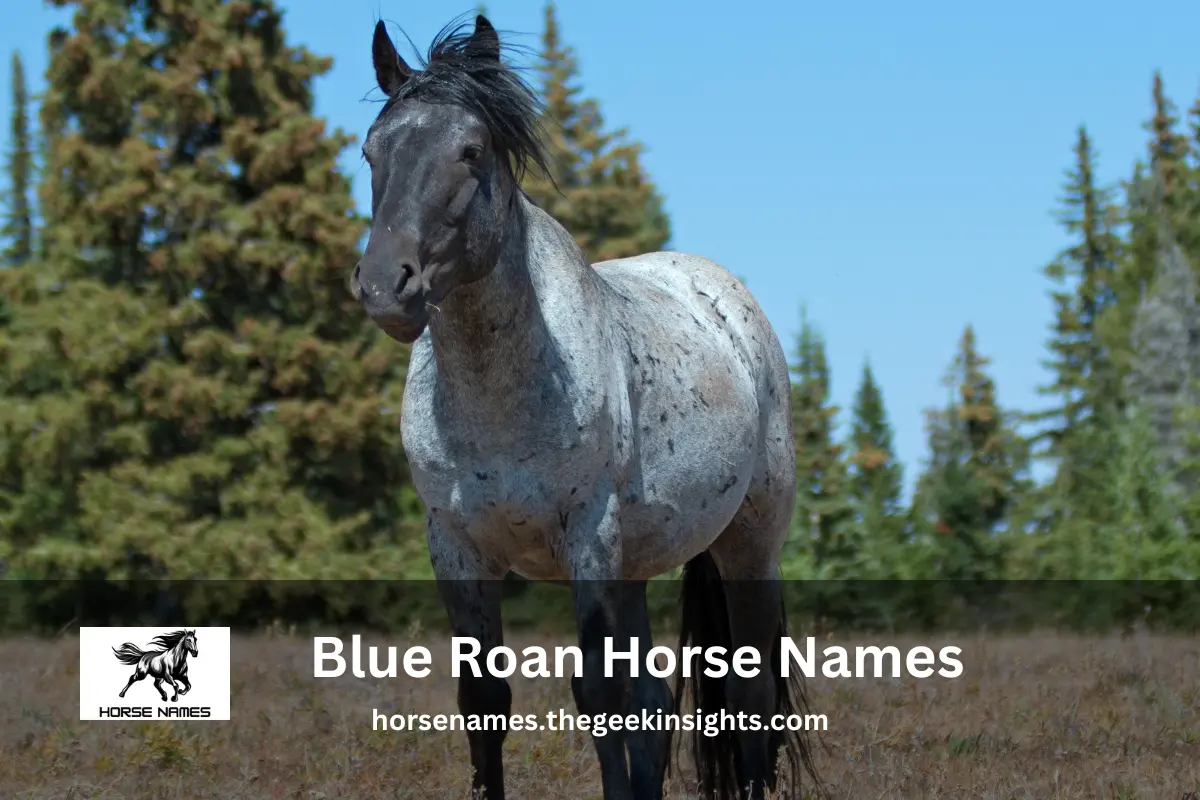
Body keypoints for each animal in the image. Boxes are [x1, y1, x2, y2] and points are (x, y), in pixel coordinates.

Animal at [351, 15, 822, 800]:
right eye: (371, 150)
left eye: (470, 150)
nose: (388, 286)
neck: (500, 399)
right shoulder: (457, 549)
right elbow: (484, 702)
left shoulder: (587, 538)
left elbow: (599, 695)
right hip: (636, 568)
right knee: (657, 702)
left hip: (748, 547)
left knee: (749, 698)